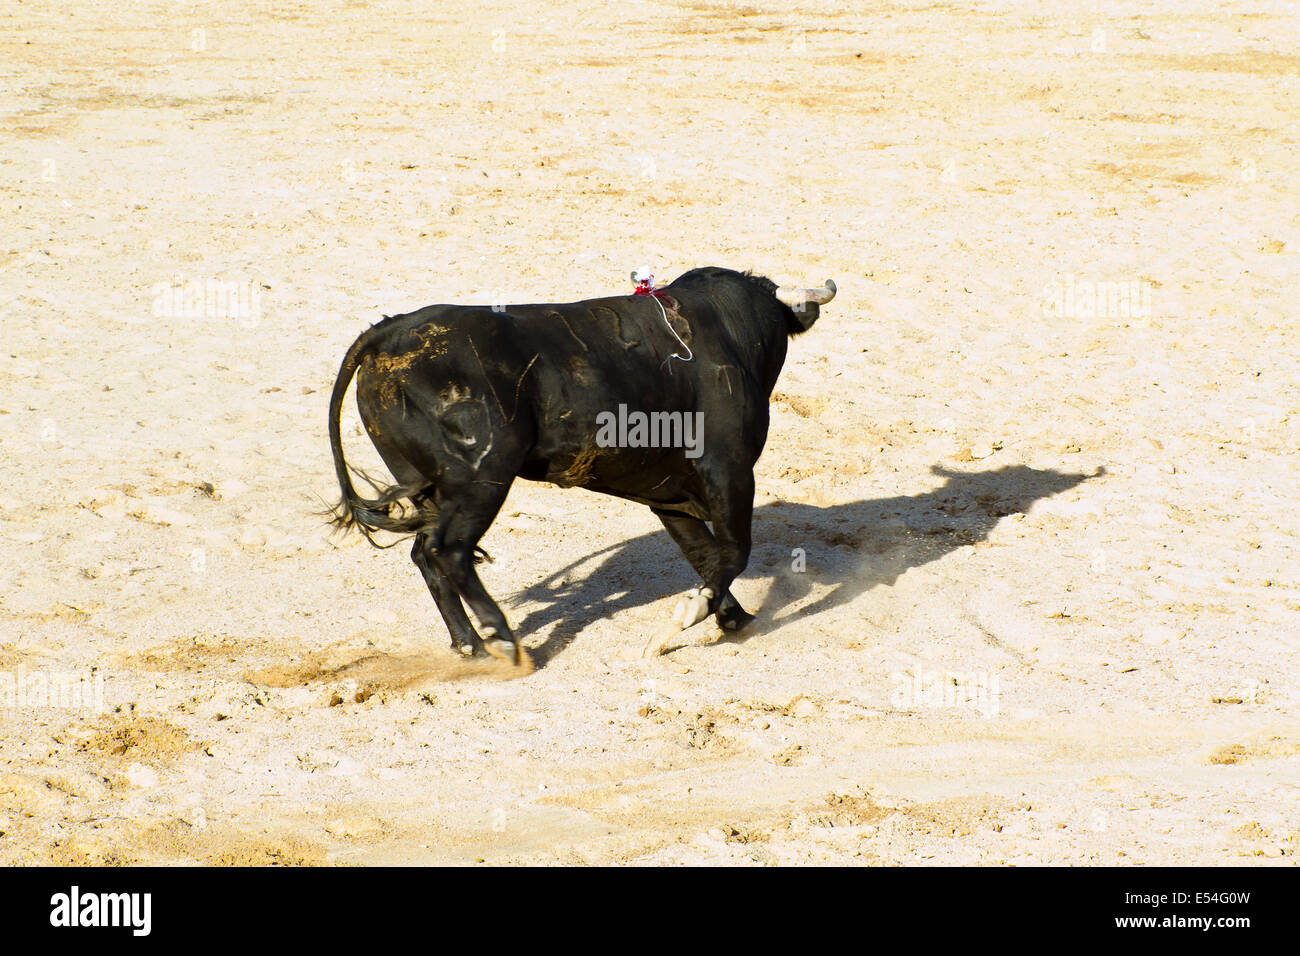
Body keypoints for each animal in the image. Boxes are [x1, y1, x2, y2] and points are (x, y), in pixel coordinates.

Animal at [328, 266, 837, 668]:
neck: (731, 333)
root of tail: (389, 332)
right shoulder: (730, 473)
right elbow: (733, 551)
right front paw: (688, 617)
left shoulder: (670, 496)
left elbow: (705, 554)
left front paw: (731, 617)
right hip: (481, 479)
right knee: (448, 550)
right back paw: (504, 642)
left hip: (425, 485)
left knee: (424, 552)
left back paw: (470, 645)